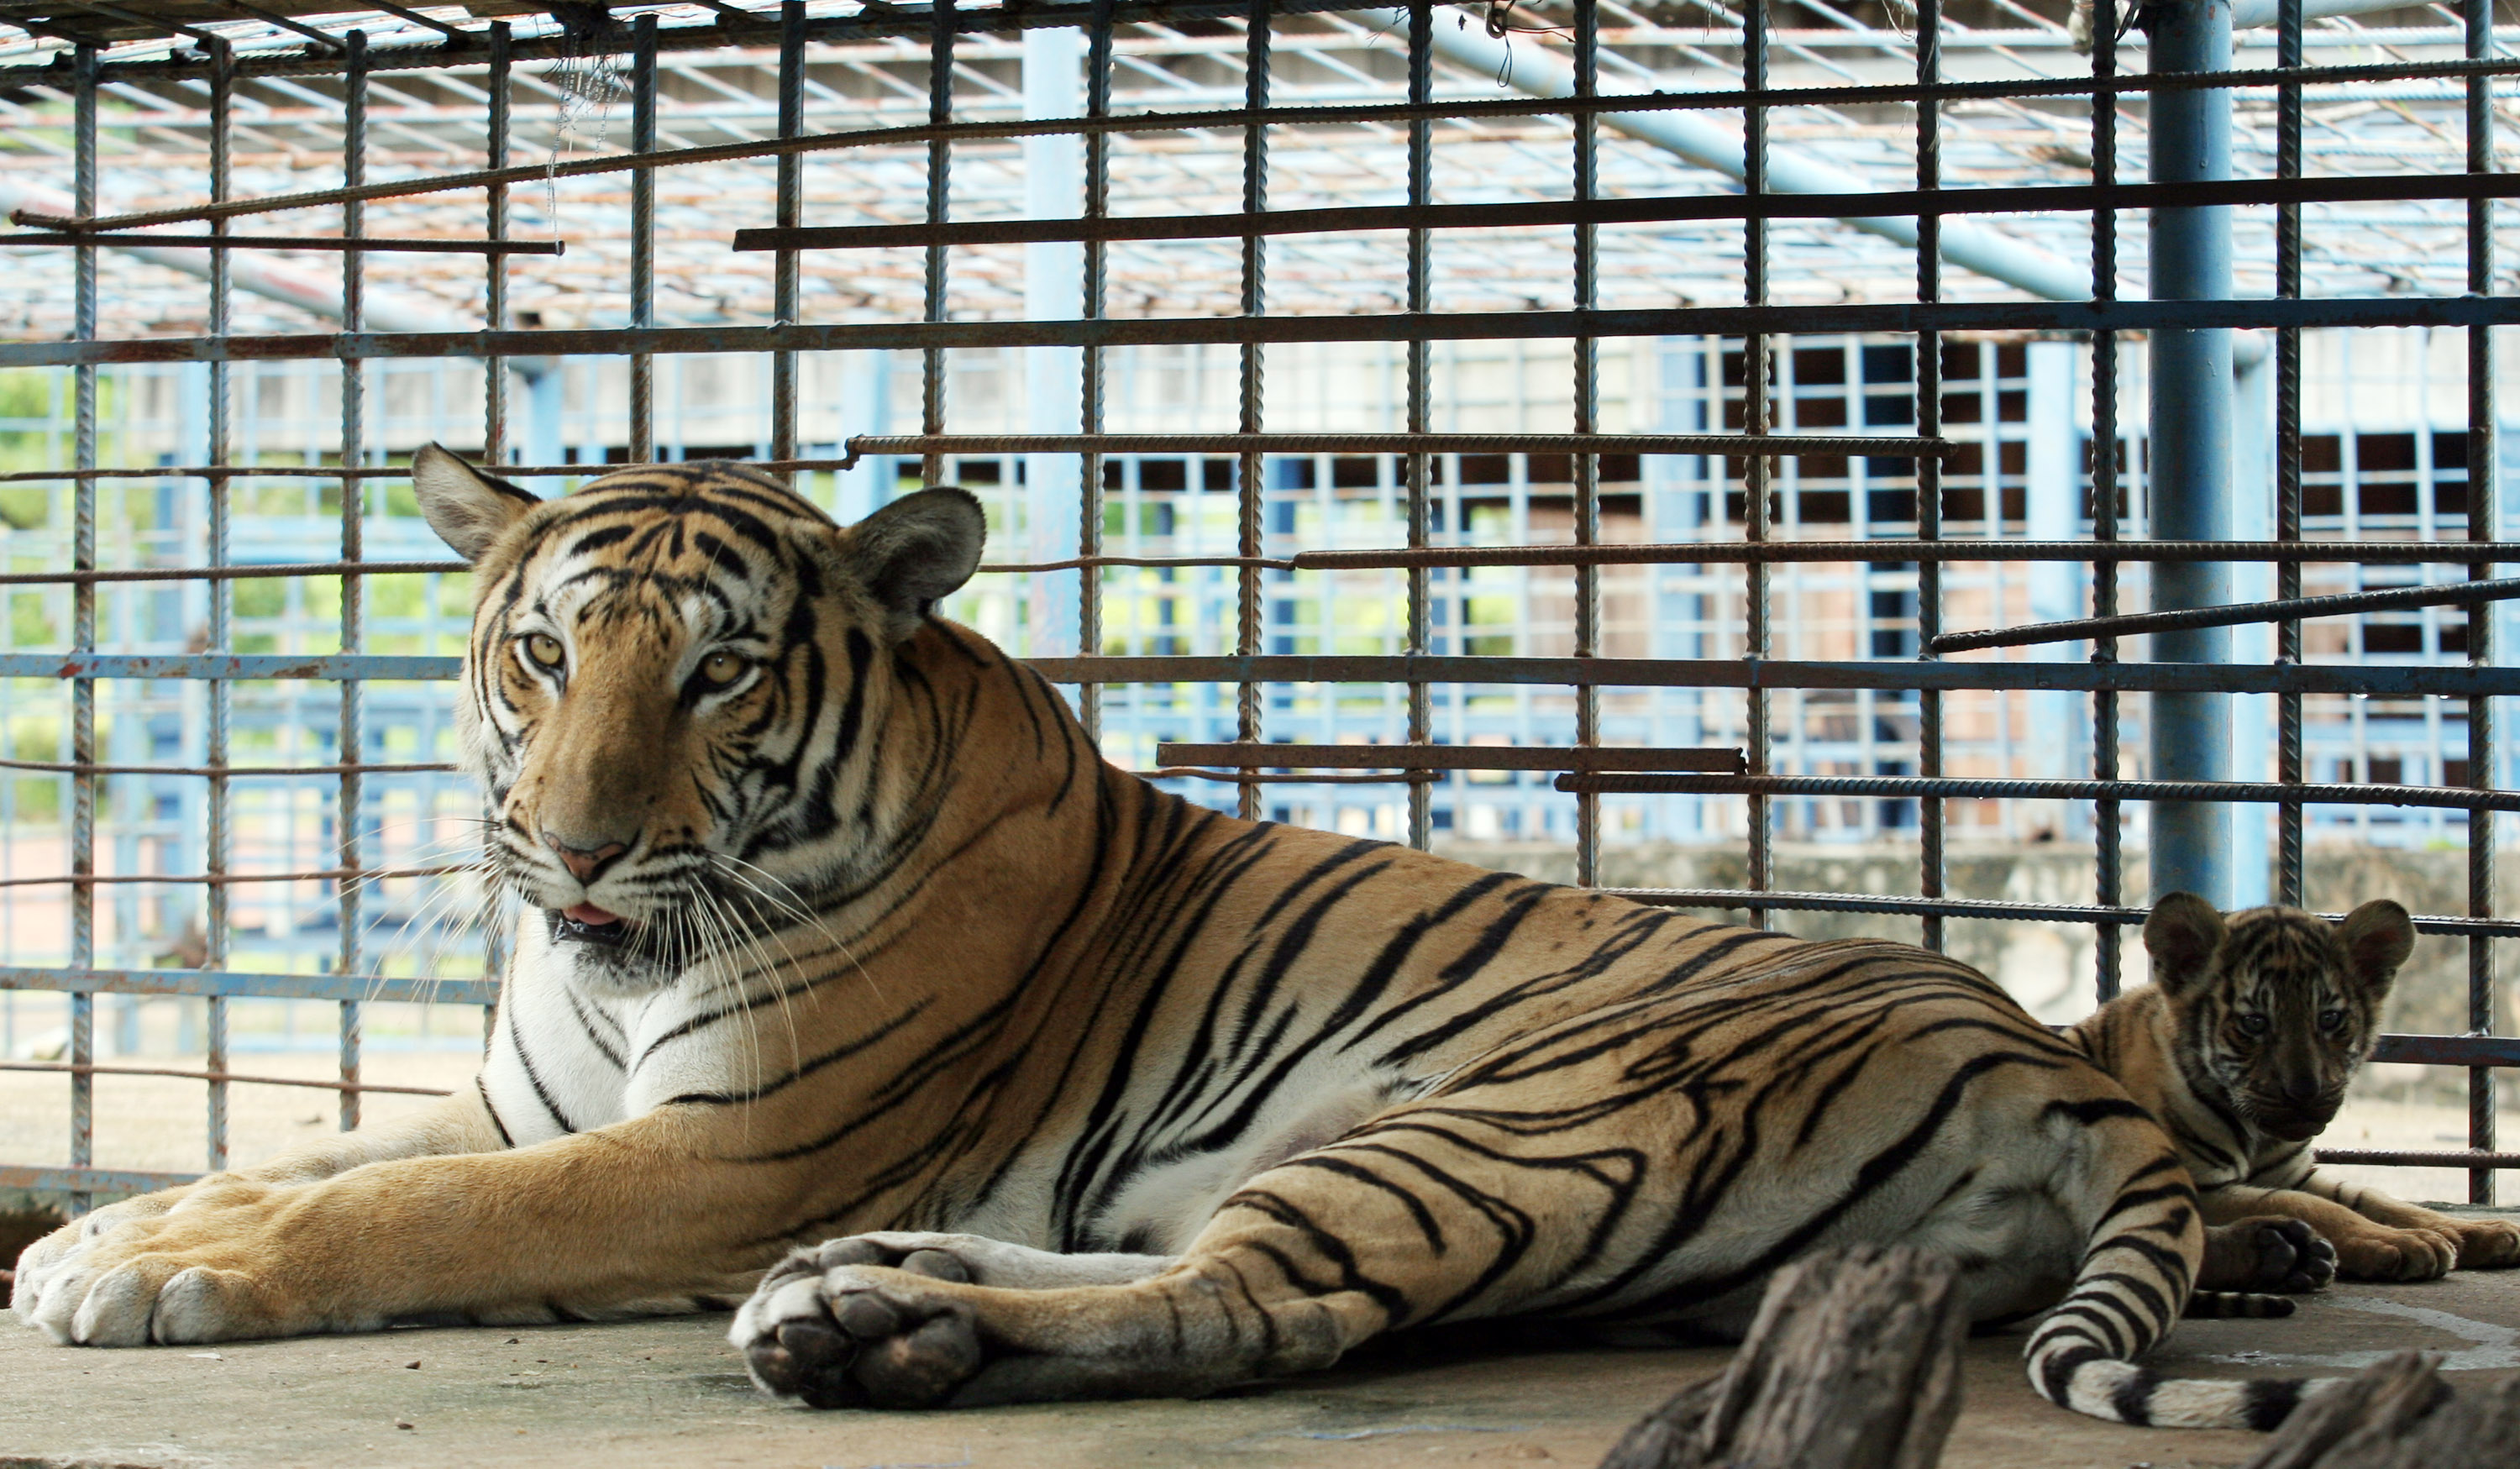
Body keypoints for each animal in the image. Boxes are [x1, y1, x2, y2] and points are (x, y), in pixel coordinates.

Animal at [14, 449, 2324, 1432]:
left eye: (720, 675)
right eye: (541, 652)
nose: (567, 844)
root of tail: (2038, 1047)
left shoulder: (722, 1150)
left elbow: (399, 1211)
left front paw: (138, 1270)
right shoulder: (527, 1100)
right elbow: (326, 1154)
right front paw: (112, 1226)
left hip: (1500, 1120)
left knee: (1263, 1308)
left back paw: (873, 1327)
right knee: (1224, 1271)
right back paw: (873, 1286)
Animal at [2070, 892, 2520, 1283]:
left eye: (2330, 1018)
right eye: (2254, 1023)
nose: (2305, 1092)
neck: (2258, 1136)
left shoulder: (2294, 1173)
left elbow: (2376, 1199)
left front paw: (2478, 1231)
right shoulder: (2201, 1185)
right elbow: (2309, 1206)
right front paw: (2406, 1243)